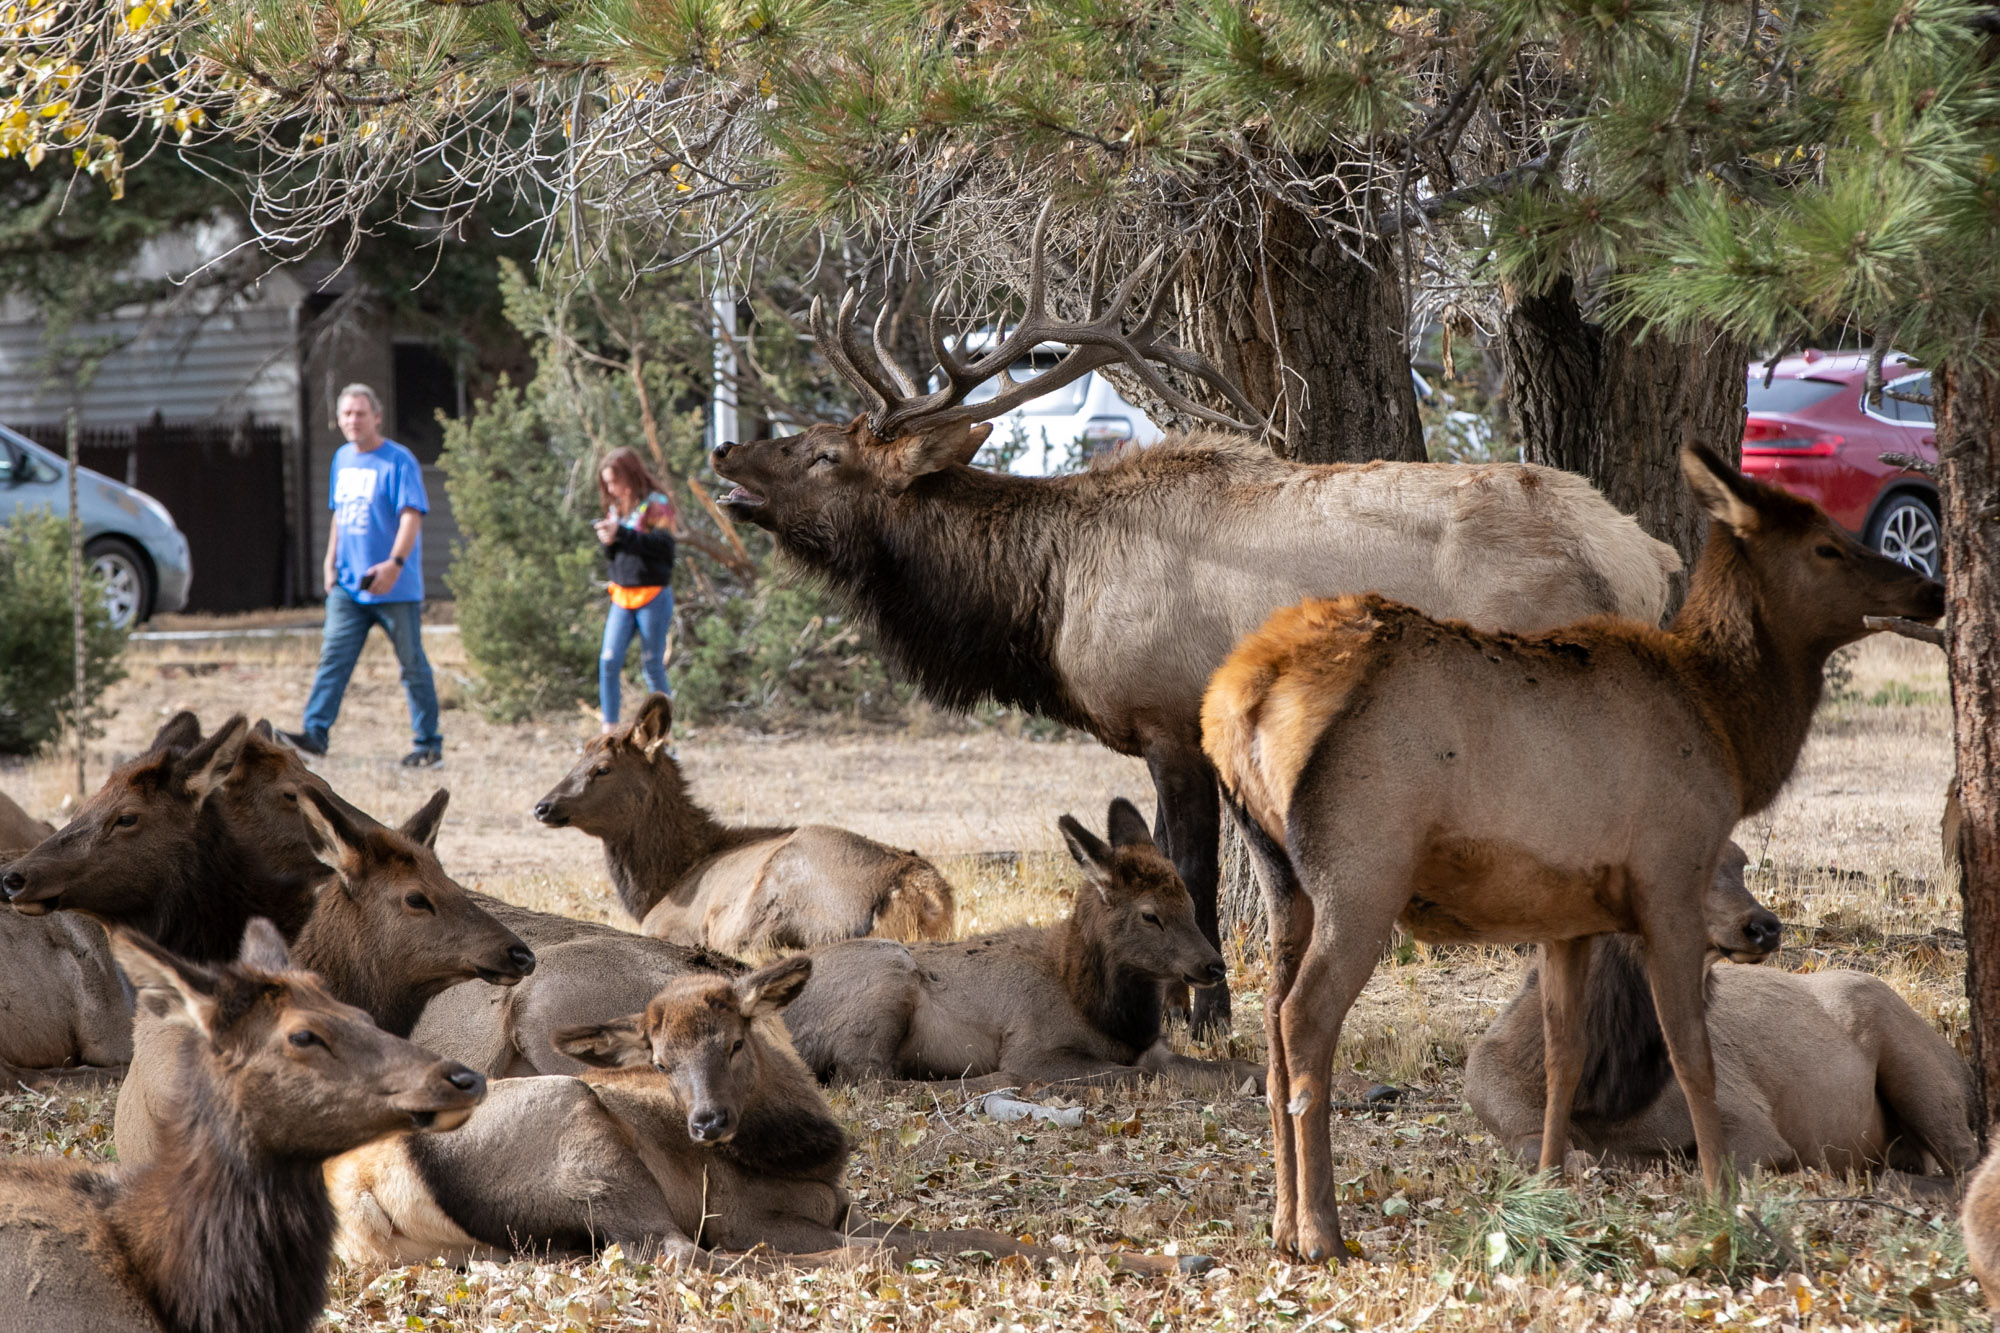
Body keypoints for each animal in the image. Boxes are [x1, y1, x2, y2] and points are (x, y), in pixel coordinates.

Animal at [328, 956, 1188, 1275]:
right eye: (659, 1061)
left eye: (735, 1039)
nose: (705, 1123)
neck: (807, 1151)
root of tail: (365, 1192)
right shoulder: (744, 1210)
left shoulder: (839, 1204)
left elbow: (975, 1230)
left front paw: (1176, 1256)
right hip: (583, 1133)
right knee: (685, 1253)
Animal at [535, 694, 956, 956]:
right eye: (577, 759)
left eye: (602, 768)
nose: (543, 806)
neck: (661, 884)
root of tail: (923, 898)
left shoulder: (667, 925)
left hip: (773, 894)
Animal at [707, 204, 1682, 1036]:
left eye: (823, 454)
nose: (725, 447)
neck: (1049, 595)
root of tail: (1649, 556)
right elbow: (1208, 867)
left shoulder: (1170, 718)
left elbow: (1194, 867)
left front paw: (1203, 1012)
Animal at [779, 798, 1263, 1093]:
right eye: (1150, 915)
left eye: (1189, 902)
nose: (1214, 965)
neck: (1106, 1012)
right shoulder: (1035, 1048)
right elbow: (1137, 1075)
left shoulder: (1154, 1047)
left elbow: (1231, 1068)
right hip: (889, 971)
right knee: (867, 1078)